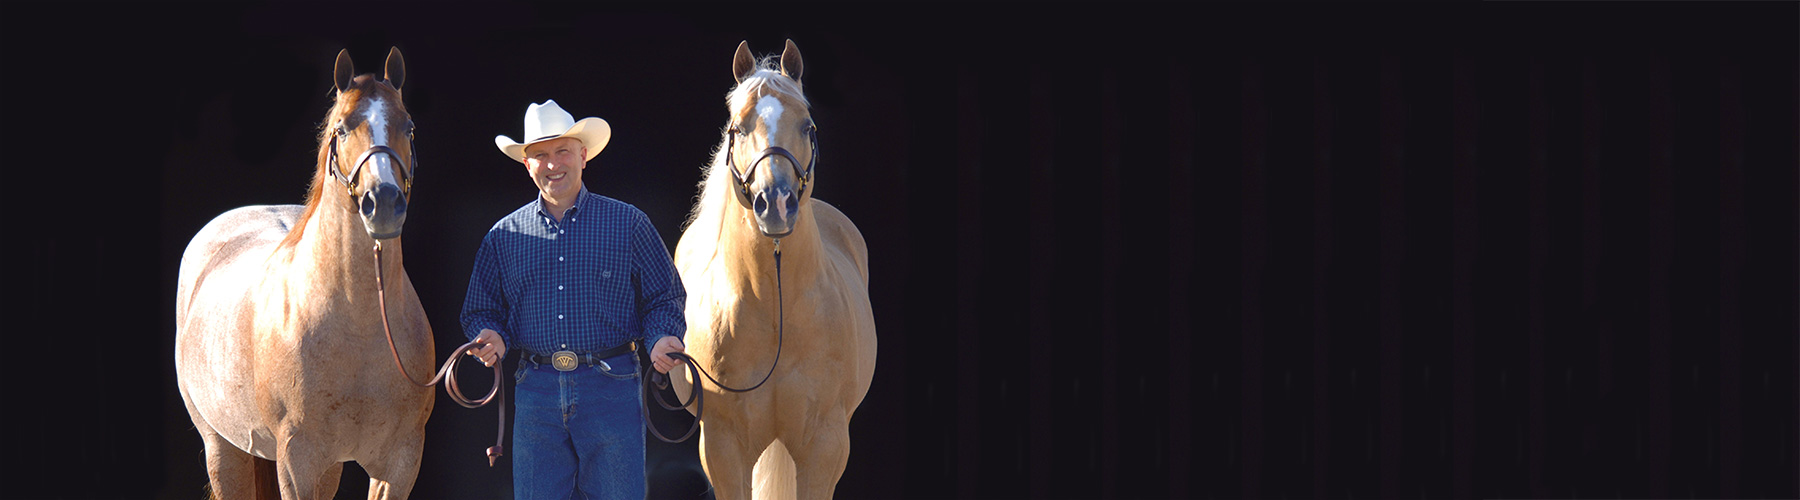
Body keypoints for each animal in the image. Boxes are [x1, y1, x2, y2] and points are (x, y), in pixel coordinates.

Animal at [175, 47, 435, 500]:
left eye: (409, 127)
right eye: (342, 129)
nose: (383, 202)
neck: (360, 328)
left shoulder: (400, 462)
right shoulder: (298, 460)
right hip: (222, 448)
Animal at [669, 39, 878, 500]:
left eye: (807, 126)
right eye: (737, 127)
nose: (777, 203)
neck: (775, 308)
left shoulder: (825, 445)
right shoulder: (723, 447)